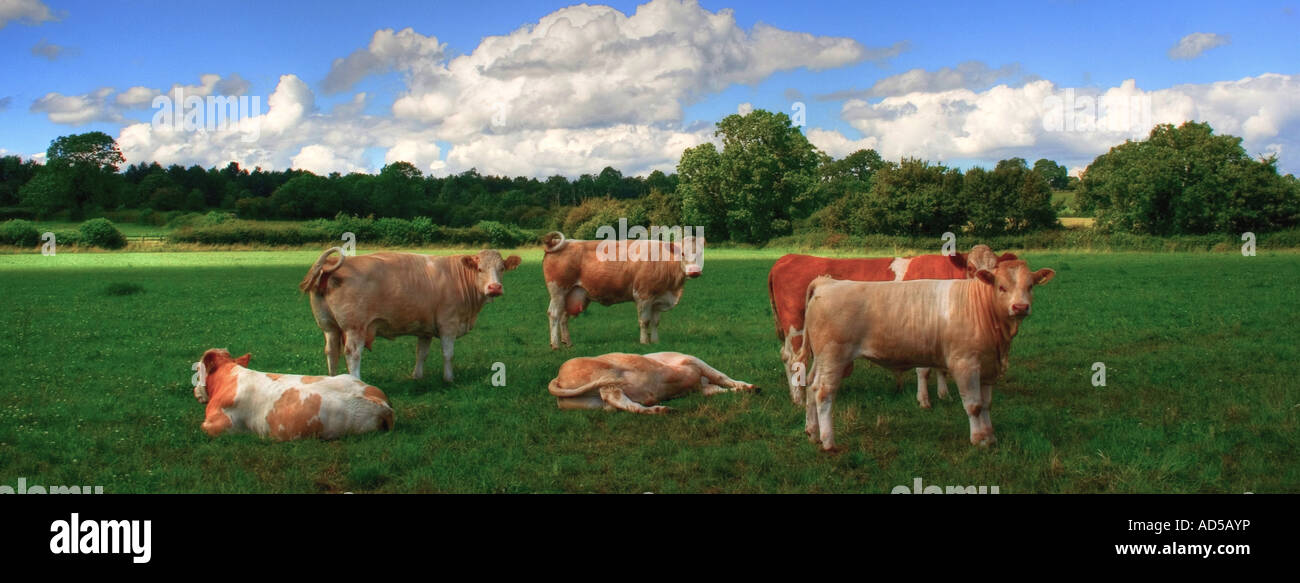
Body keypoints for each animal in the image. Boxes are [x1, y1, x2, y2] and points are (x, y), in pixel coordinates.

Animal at [299, 248, 521, 382]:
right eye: (480, 269)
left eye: (502, 268)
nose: (495, 287)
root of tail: (331, 265)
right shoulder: (448, 324)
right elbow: (448, 354)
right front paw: (449, 379)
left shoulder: (425, 329)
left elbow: (421, 353)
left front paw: (417, 376)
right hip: (355, 327)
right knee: (352, 354)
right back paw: (356, 382)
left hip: (329, 326)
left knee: (331, 352)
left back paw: (332, 380)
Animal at [541, 231, 704, 349]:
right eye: (682, 253)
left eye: (701, 253)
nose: (694, 271)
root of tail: (567, 242)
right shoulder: (643, 295)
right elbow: (645, 321)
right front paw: (645, 342)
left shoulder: (658, 299)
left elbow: (655, 322)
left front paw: (656, 341)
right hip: (558, 290)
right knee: (554, 314)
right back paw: (555, 345)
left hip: (570, 294)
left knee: (563, 317)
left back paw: (567, 343)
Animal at [547, 352, 757, 414]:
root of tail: (558, 376)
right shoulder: (694, 361)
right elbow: (722, 377)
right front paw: (749, 386)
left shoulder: (701, 387)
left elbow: (717, 388)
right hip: (604, 374)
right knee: (612, 393)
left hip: (593, 403)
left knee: (621, 405)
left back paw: (658, 409)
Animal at [767, 245, 1012, 407]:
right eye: (970, 267)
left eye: (995, 269)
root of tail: (788, 258)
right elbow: (923, 369)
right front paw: (924, 400)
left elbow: (940, 367)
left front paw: (944, 396)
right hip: (795, 324)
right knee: (796, 359)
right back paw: (799, 399)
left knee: (785, 355)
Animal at [799, 259, 1055, 451]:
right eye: (1001, 287)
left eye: (1030, 286)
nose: (1020, 307)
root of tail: (827, 283)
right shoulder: (965, 364)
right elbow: (973, 405)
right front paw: (978, 439)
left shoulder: (988, 367)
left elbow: (986, 404)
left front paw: (990, 437)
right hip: (834, 356)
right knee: (823, 393)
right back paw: (829, 442)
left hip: (821, 359)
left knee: (811, 386)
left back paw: (812, 433)